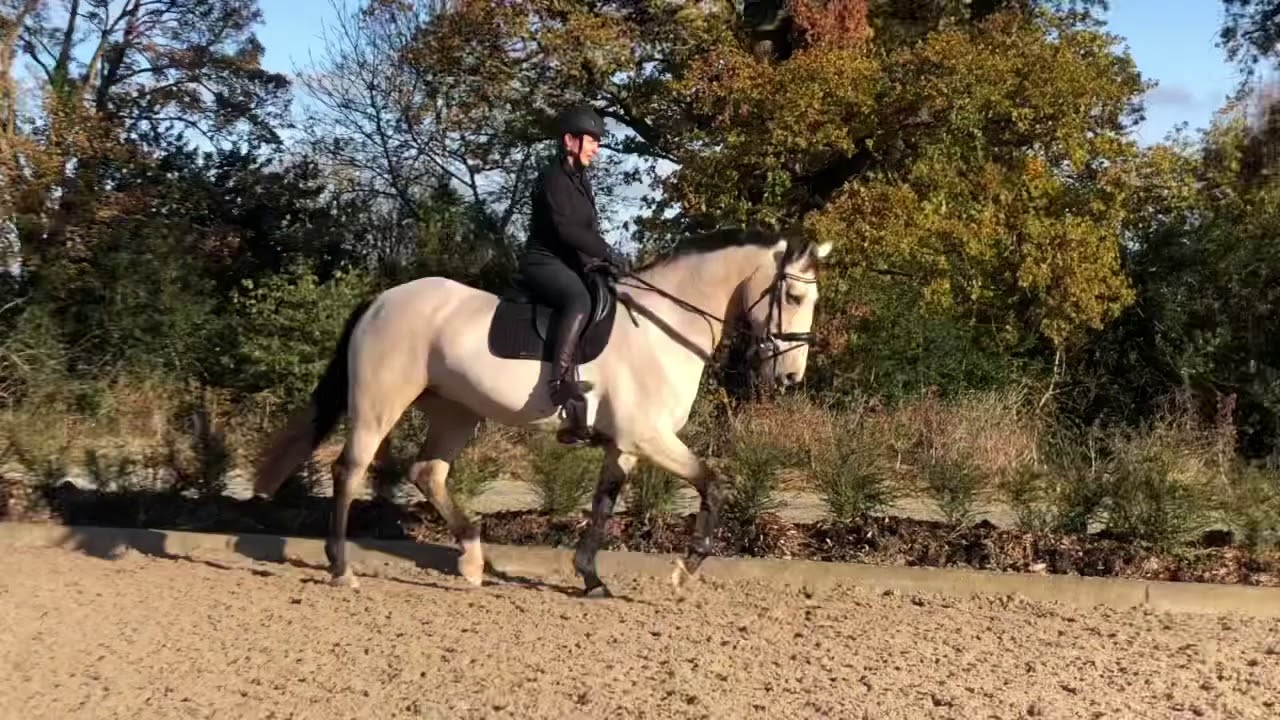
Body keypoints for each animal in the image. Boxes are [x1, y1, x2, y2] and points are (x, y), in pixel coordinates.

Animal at [251, 227, 834, 596]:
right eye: (794, 297)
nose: (790, 378)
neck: (665, 326)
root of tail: (381, 300)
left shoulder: (626, 444)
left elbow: (603, 504)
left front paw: (591, 577)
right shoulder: (650, 438)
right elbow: (713, 484)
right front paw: (683, 573)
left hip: (457, 411)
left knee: (427, 472)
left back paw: (471, 560)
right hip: (380, 402)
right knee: (349, 469)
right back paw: (341, 567)